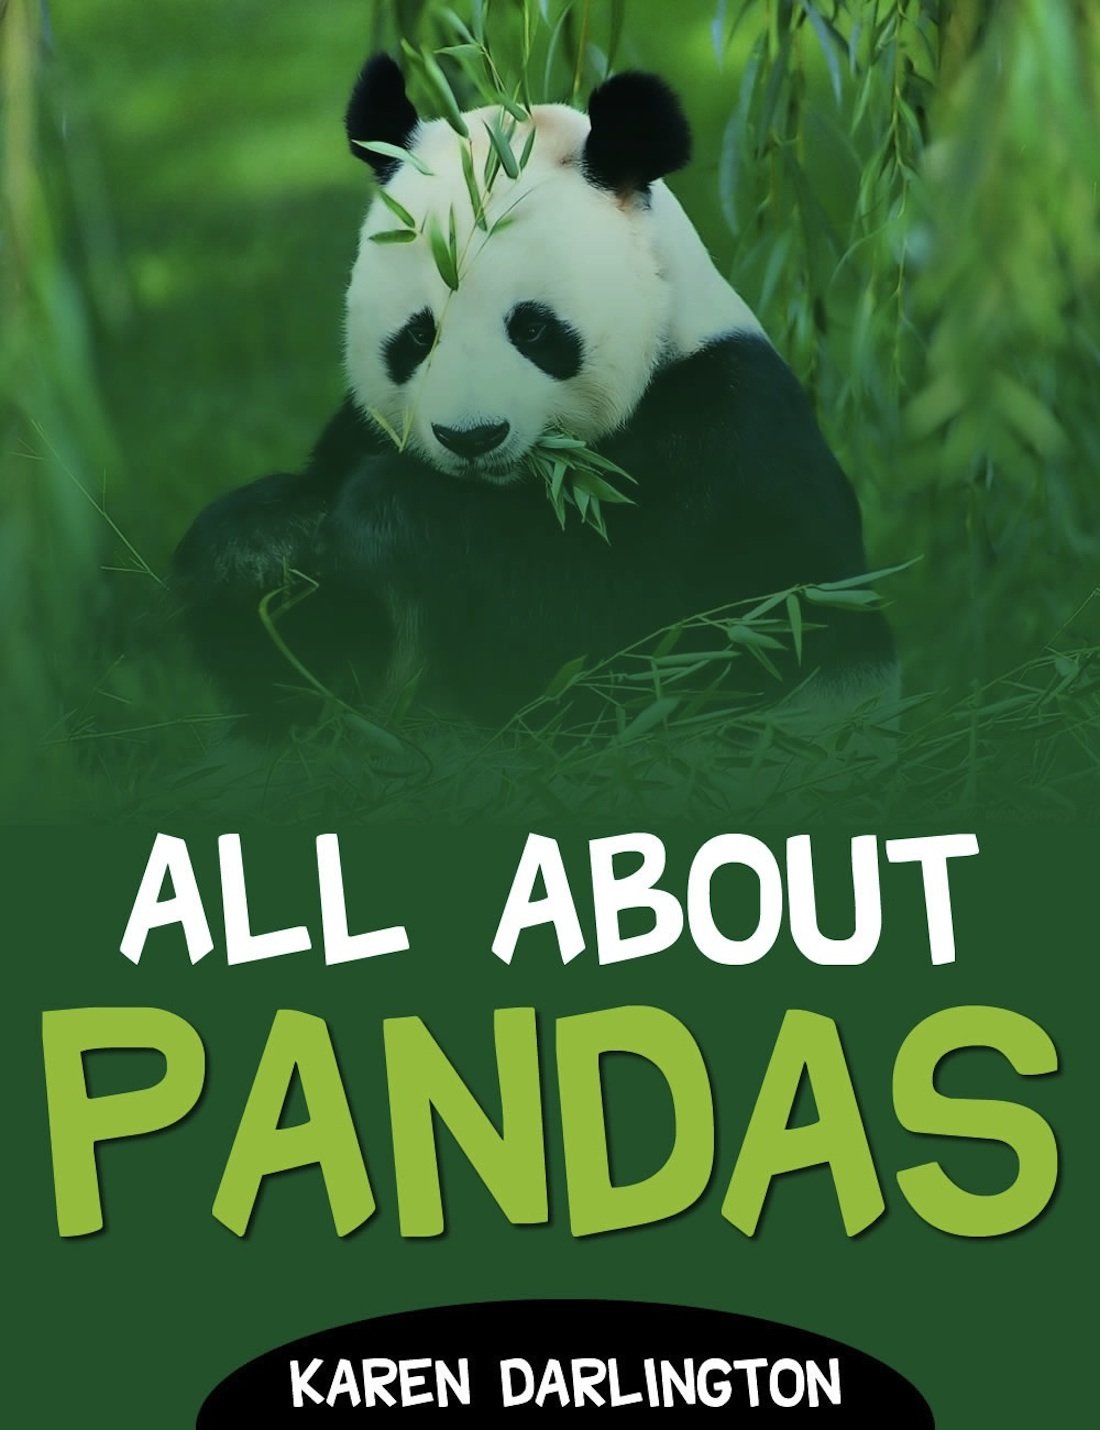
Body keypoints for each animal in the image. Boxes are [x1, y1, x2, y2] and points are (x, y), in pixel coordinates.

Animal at [174, 54, 895, 729]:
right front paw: (259, 548)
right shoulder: (358, 429)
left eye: (533, 329)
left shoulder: (733, 439)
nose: (471, 438)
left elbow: (631, 636)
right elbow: (318, 676)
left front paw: (387, 514)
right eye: (417, 336)